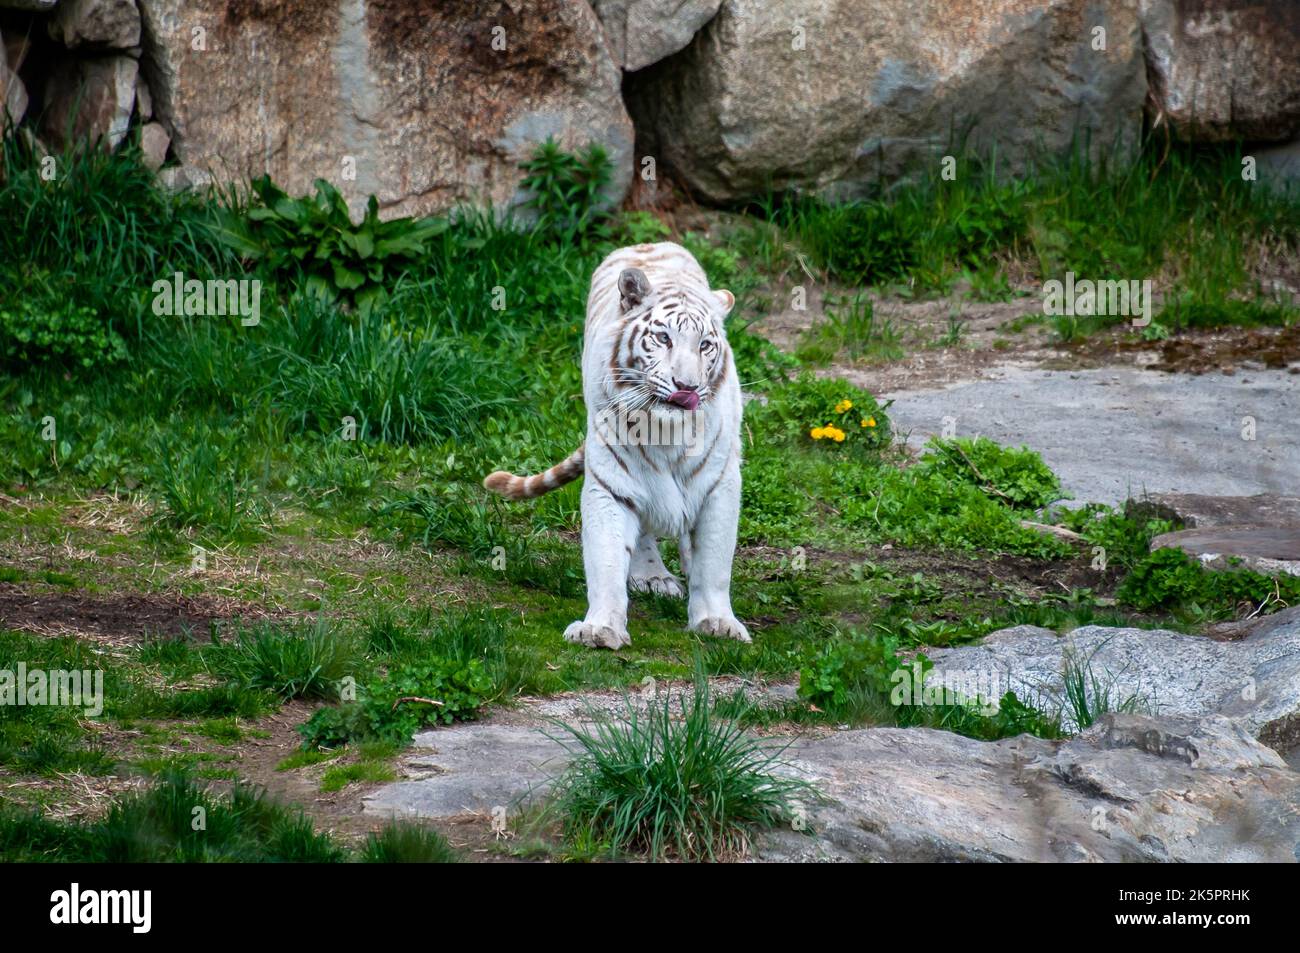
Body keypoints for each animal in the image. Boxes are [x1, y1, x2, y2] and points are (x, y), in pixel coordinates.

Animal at [483, 242, 748, 650]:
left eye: (705, 345)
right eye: (664, 338)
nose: (686, 387)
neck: (666, 433)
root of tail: (647, 243)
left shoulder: (720, 485)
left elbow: (714, 561)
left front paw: (716, 622)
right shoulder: (611, 483)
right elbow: (606, 558)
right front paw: (599, 628)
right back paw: (653, 577)